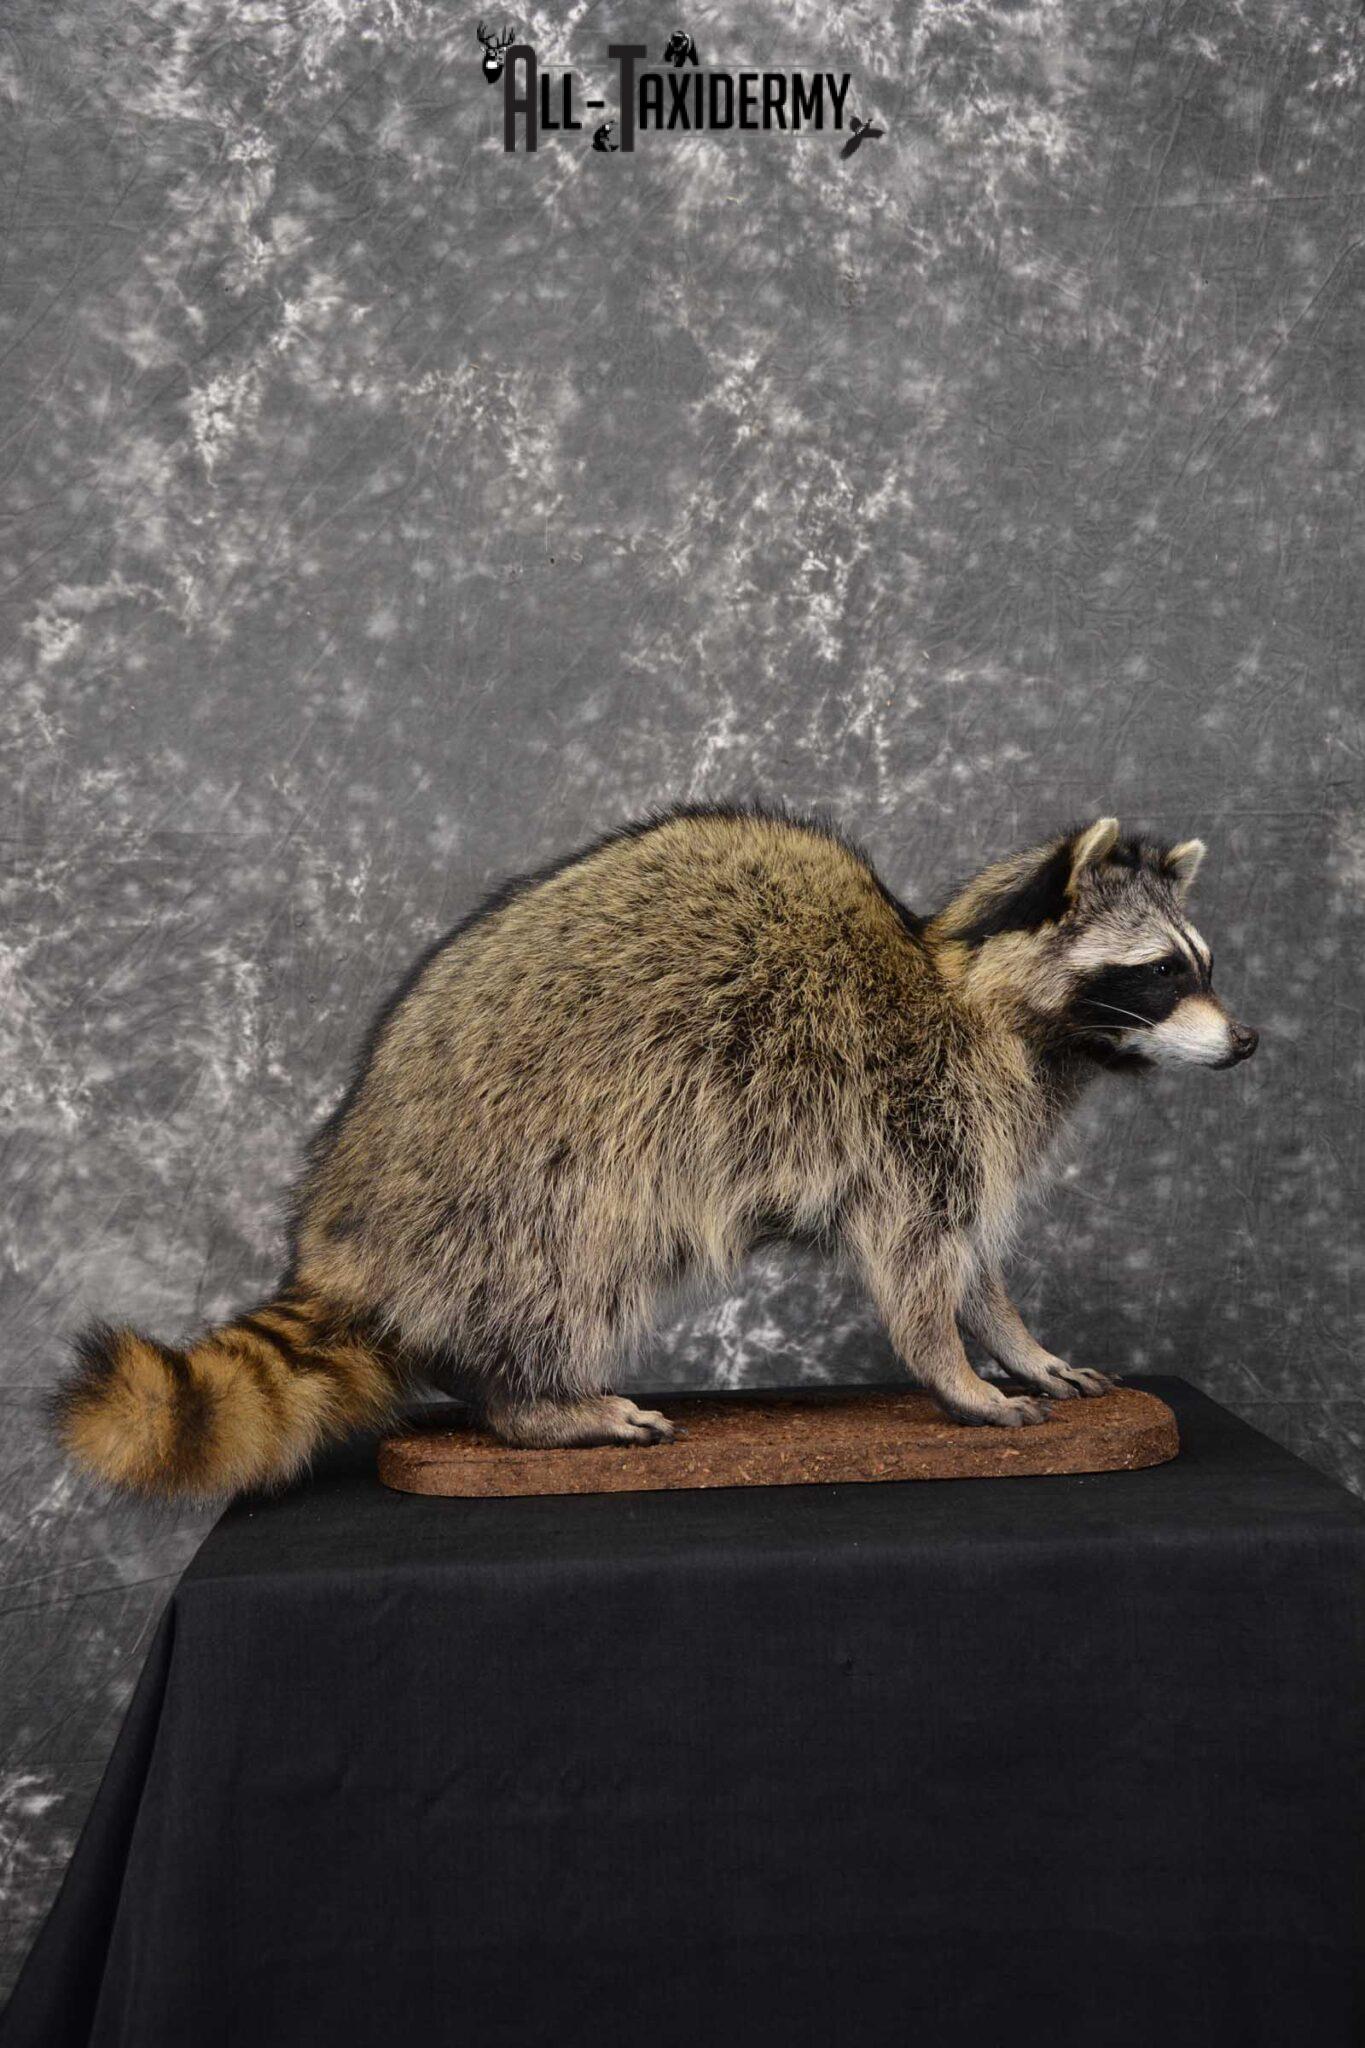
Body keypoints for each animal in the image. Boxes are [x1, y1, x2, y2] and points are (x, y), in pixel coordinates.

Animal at [57, 805, 1256, 1499]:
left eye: (1203, 963)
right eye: (1162, 971)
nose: (1247, 1041)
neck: (982, 994)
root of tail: (343, 1231)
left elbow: (973, 1259)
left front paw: (1019, 1340)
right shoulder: (911, 1105)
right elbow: (918, 1261)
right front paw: (959, 1373)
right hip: (532, 1168)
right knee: (572, 1266)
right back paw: (541, 1405)